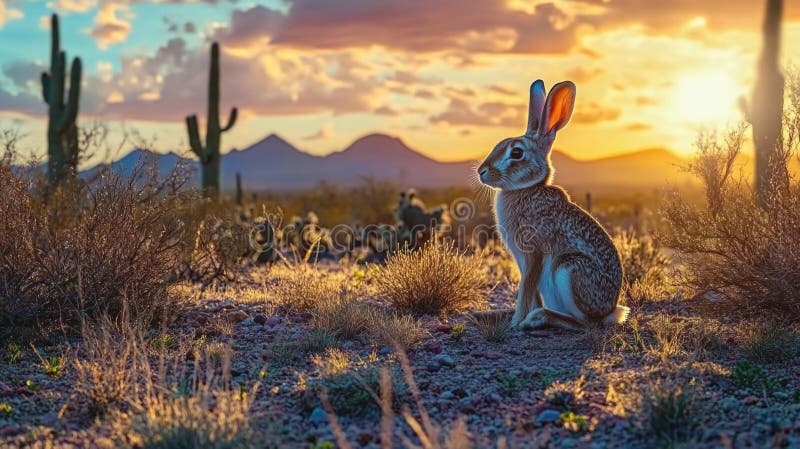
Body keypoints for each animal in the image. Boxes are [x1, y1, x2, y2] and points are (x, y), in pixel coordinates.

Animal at [477, 79, 629, 330]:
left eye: (517, 153)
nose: (481, 172)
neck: (526, 188)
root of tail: (611, 311)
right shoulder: (521, 259)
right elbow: (530, 290)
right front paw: (518, 317)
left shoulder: (534, 250)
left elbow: (526, 288)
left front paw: (517, 322)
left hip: (569, 268)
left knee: (584, 323)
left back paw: (539, 318)